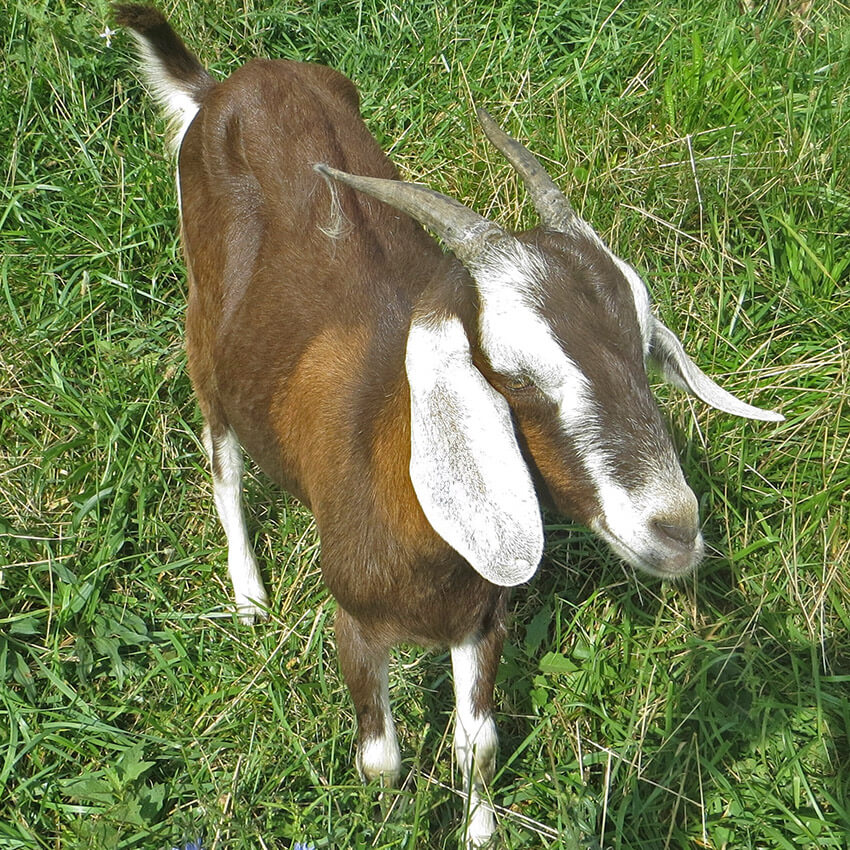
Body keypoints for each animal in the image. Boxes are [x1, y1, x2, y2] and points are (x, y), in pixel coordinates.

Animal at [115, 5, 783, 846]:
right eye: (516, 375)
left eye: (642, 347)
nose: (676, 527)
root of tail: (222, 88)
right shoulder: (355, 625)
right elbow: (381, 759)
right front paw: (387, 821)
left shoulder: (481, 618)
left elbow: (478, 745)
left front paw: (478, 828)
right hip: (203, 335)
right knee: (221, 456)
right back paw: (248, 597)